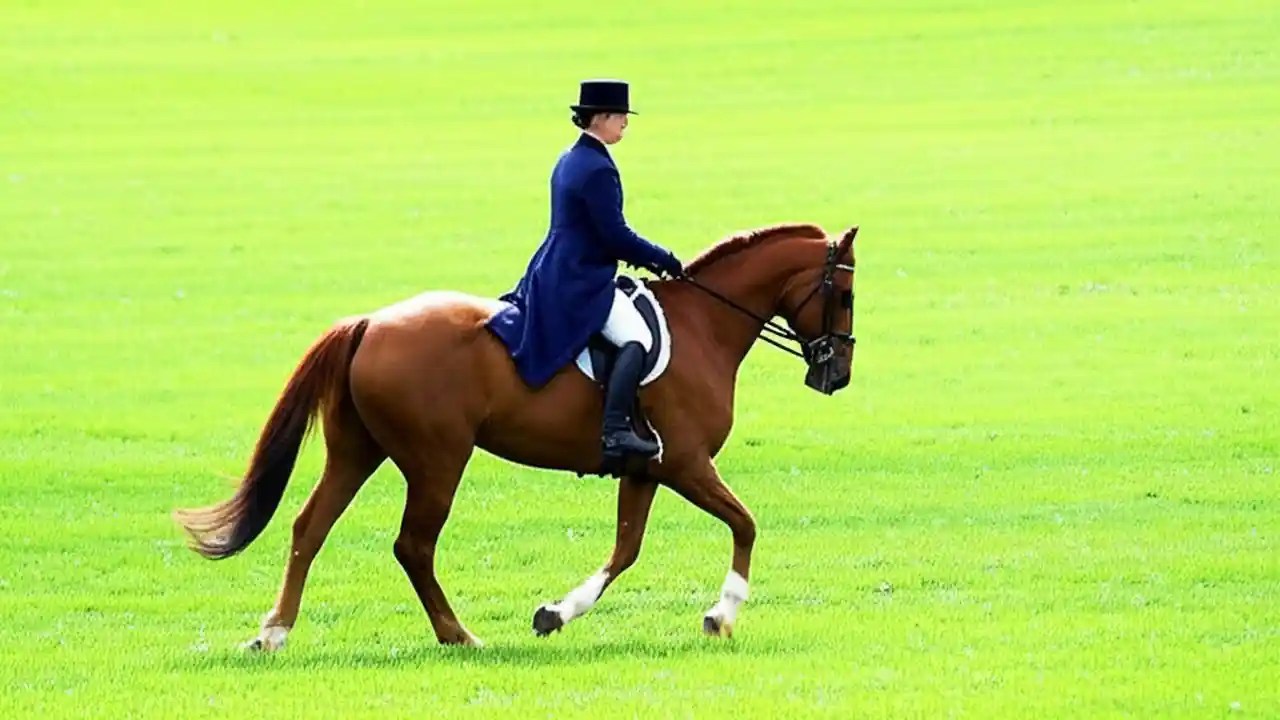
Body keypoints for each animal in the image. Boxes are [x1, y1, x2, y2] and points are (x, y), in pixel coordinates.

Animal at [174, 222, 857, 650]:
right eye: (845, 293)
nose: (838, 375)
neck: (705, 326)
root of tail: (370, 323)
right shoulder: (686, 463)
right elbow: (745, 524)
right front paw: (721, 615)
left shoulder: (645, 468)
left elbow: (625, 550)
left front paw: (555, 613)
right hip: (437, 460)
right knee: (412, 546)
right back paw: (458, 635)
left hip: (358, 452)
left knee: (309, 529)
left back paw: (273, 632)